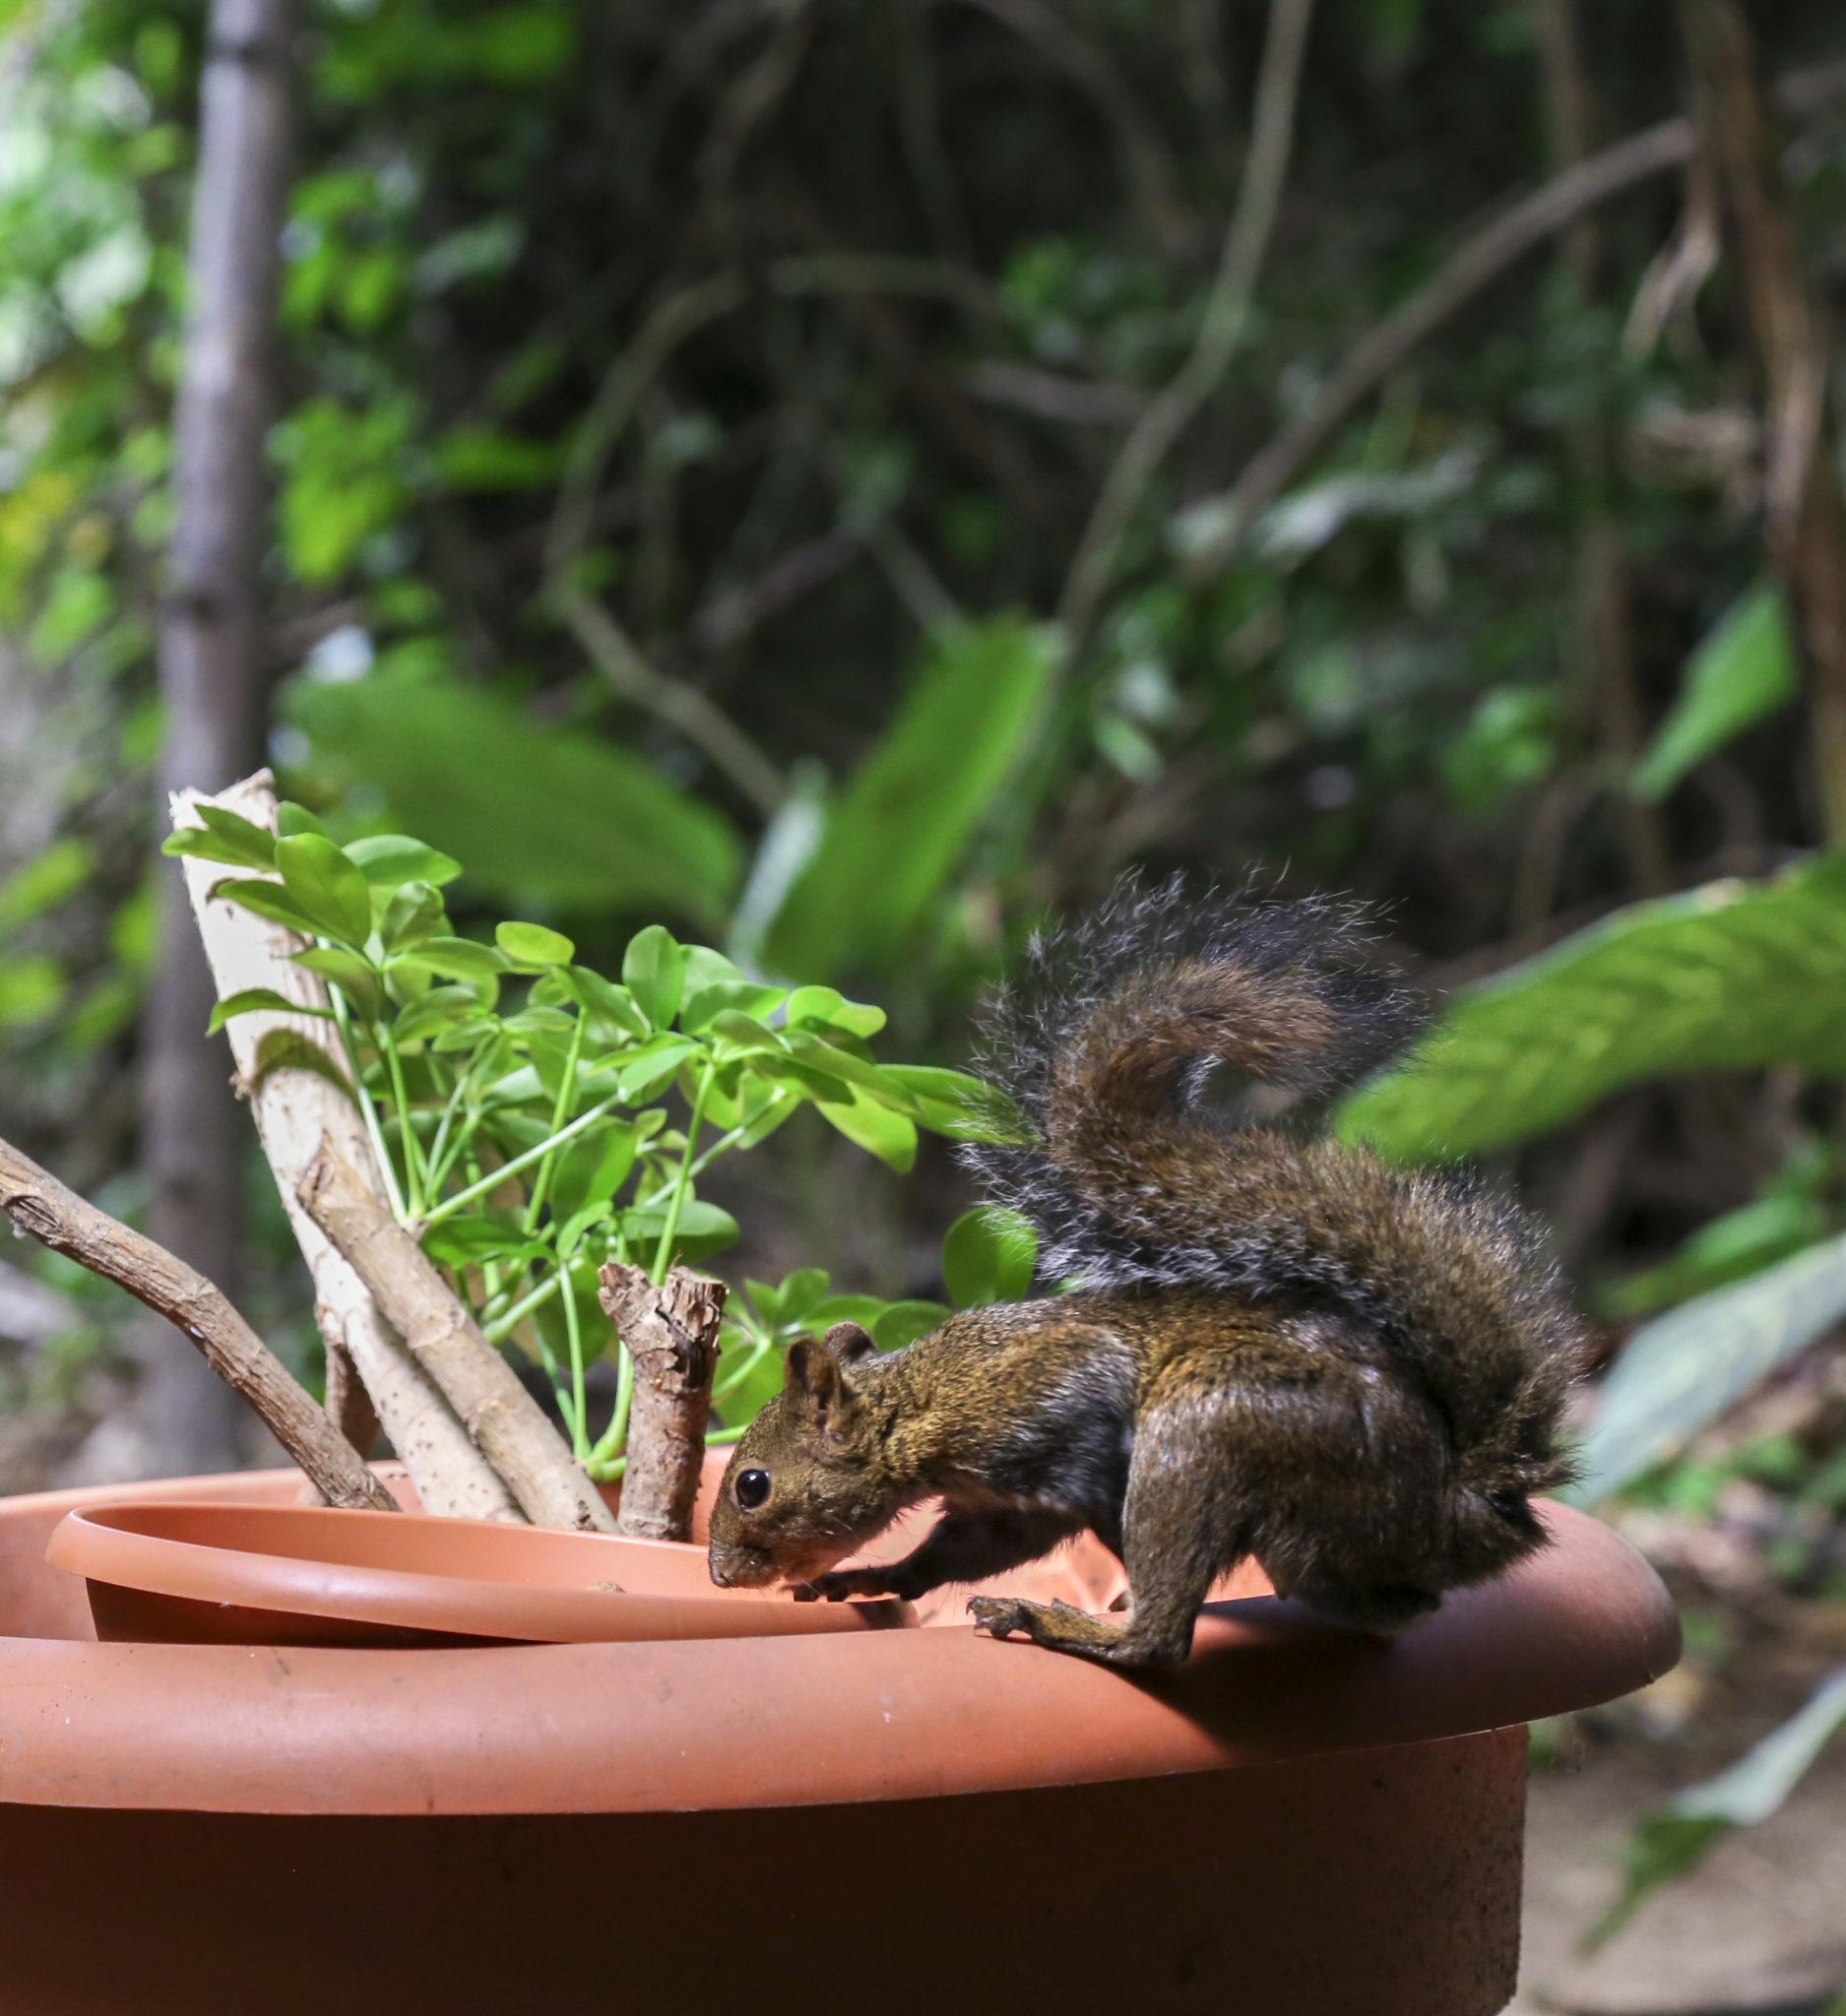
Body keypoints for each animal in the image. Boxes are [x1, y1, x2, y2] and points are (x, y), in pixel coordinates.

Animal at [707, 879, 1581, 1667]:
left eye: (752, 1483)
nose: (717, 1575)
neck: (924, 1400)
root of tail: (1454, 1503)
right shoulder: (1002, 1504)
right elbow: (958, 1550)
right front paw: (874, 1576)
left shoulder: (1055, 1426)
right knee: (1389, 1603)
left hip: (1209, 1430)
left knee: (1162, 1639)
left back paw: (1063, 1623)